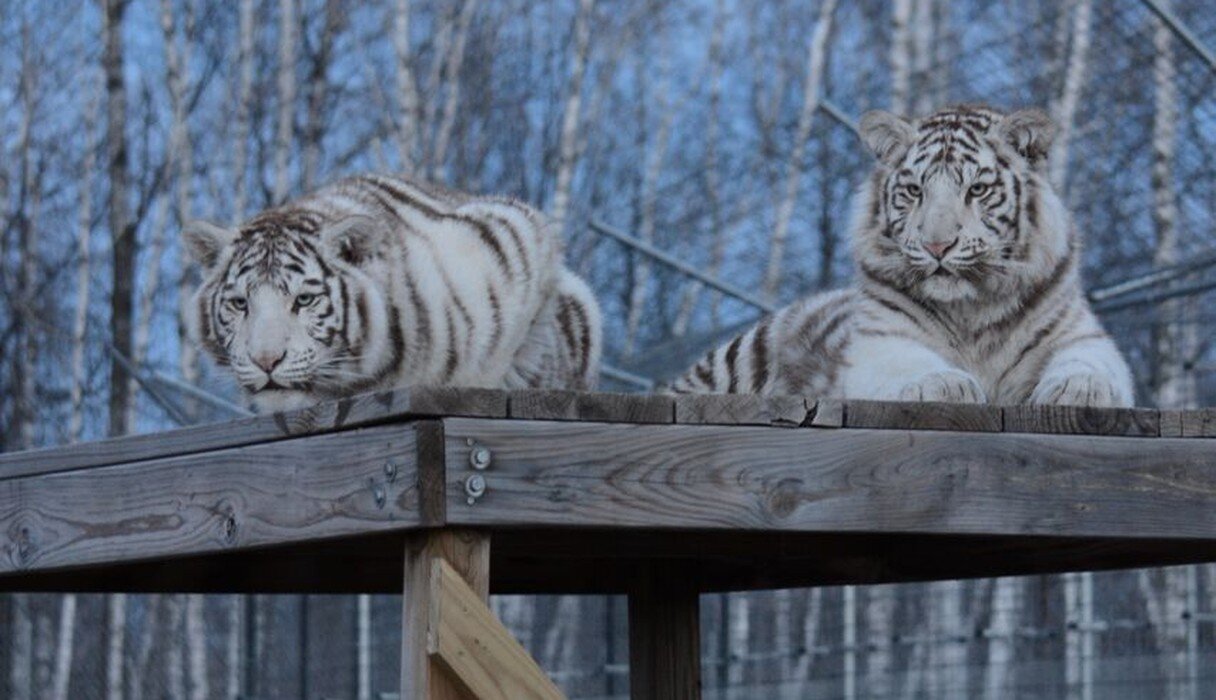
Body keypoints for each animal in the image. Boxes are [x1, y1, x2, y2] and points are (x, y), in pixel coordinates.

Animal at [671, 104, 1134, 408]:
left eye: (977, 189)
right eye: (914, 191)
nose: (937, 246)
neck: (973, 307)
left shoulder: (1082, 335)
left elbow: (1088, 363)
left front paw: (1078, 390)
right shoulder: (881, 341)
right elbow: (911, 364)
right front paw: (947, 384)